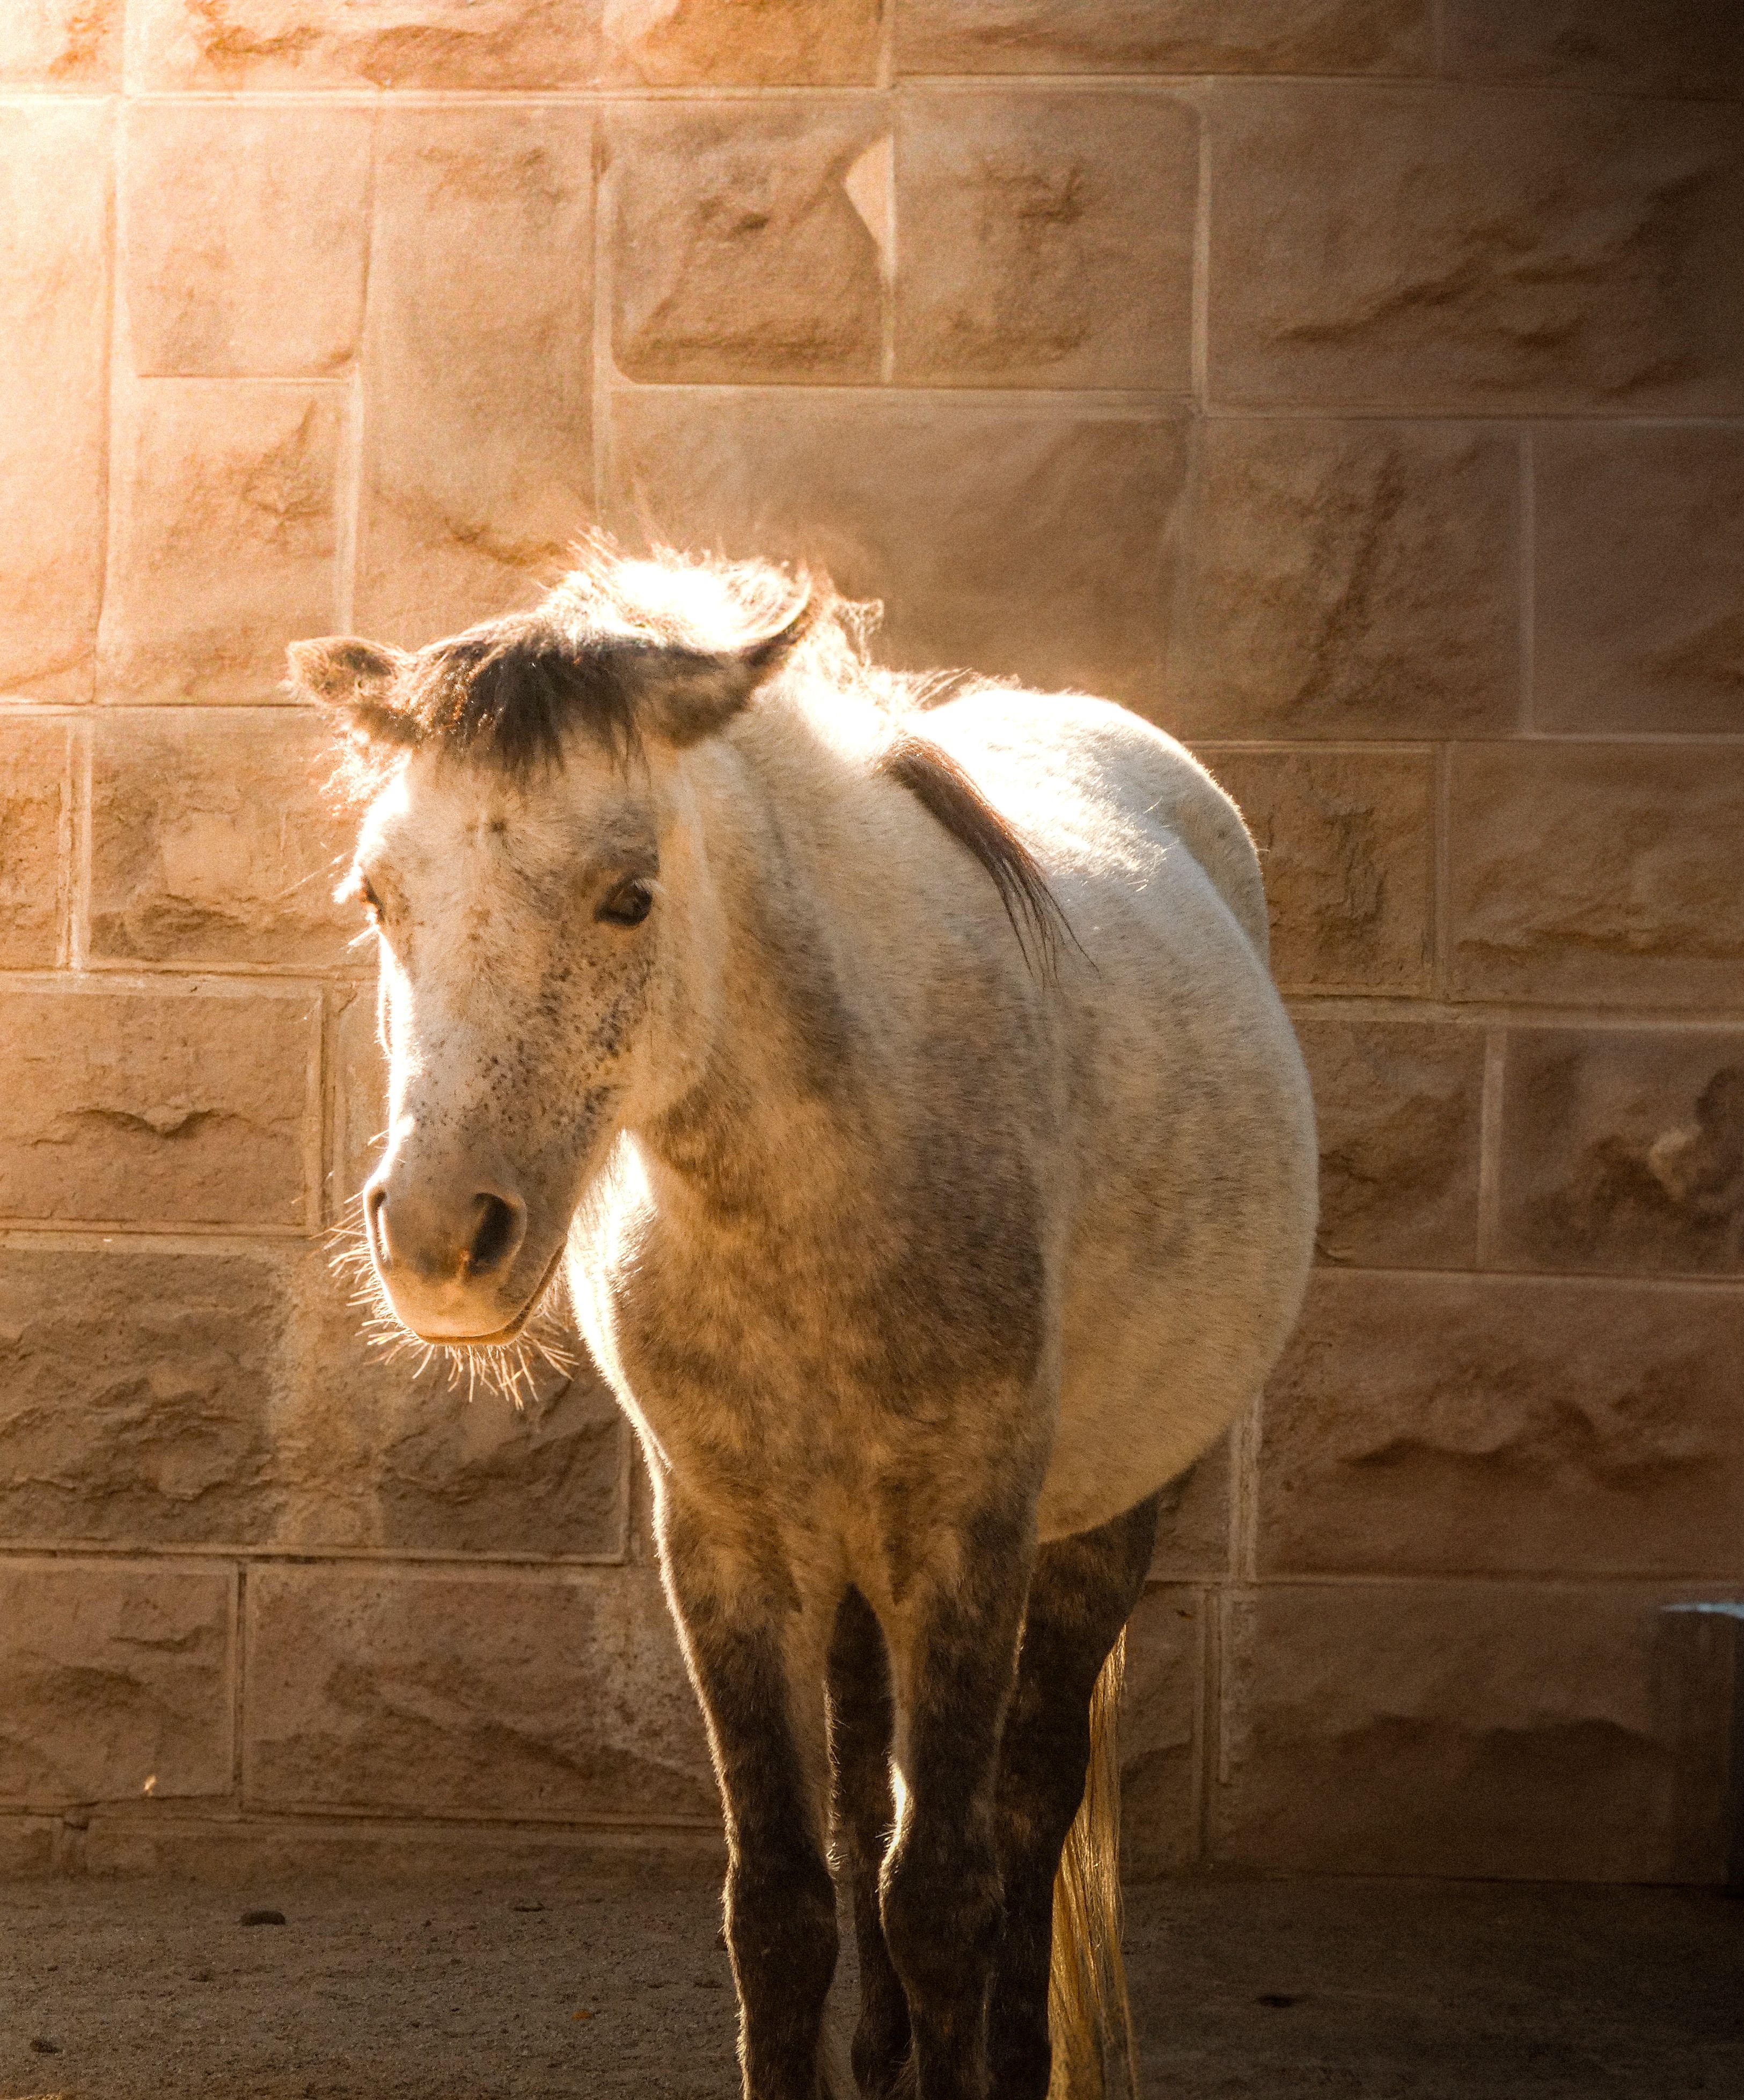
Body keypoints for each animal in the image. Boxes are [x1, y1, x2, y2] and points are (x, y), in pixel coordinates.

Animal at [292, 544, 1317, 2100]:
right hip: (843, 1556)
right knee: (861, 1777)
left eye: (630, 897)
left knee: (1029, 1806)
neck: (841, 1155)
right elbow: (780, 1902)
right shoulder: (727, 1543)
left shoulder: (968, 1532)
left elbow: (946, 1887)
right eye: (376, 897)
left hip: (1102, 1520)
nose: (436, 1243)